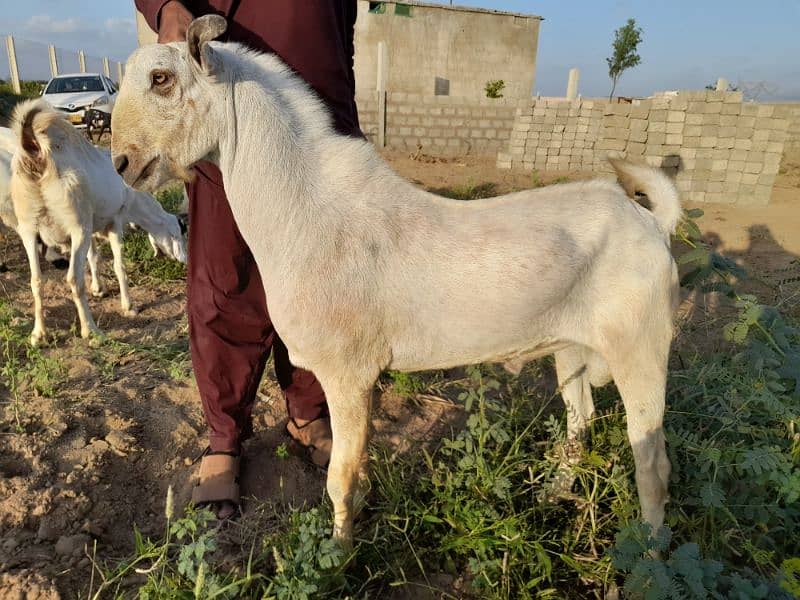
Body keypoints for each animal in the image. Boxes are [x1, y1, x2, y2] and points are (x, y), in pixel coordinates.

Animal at [9, 101, 187, 345]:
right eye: (179, 233)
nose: (185, 260)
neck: (135, 199)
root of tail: (34, 149)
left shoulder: (91, 224)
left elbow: (93, 257)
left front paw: (98, 288)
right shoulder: (114, 223)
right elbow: (119, 265)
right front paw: (128, 306)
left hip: (29, 228)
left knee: (36, 280)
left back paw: (39, 334)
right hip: (76, 226)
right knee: (74, 279)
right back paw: (91, 331)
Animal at [111, 15, 680, 544]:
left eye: (161, 78)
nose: (121, 163)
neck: (306, 212)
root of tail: (651, 221)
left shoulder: (348, 373)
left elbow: (340, 477)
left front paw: (340, 551)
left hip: (641, 348)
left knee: (653, 463)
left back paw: (650, 556)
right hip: (570, 347)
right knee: (580, 420)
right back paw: (553, 494)